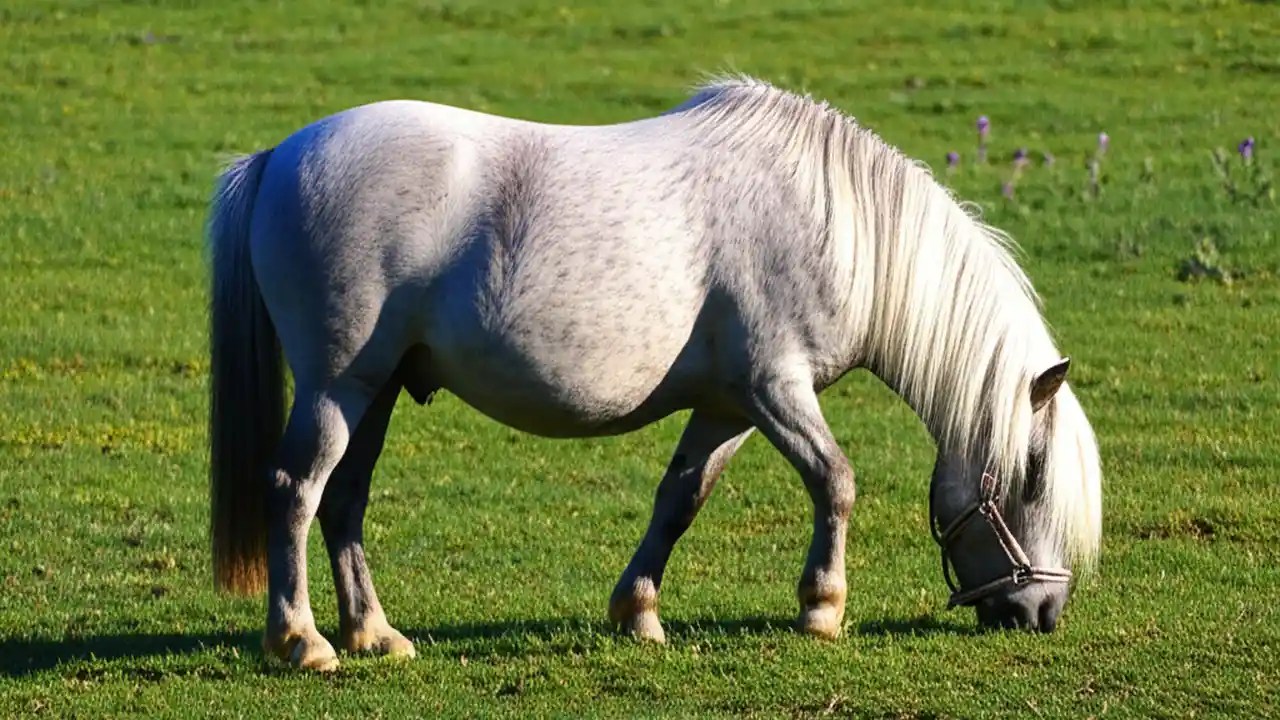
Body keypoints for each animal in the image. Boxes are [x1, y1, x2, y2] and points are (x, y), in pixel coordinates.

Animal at [208, 77, 1102, 671]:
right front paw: (822, 609)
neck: (834, 219)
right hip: (338, 386)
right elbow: (837, 481)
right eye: (1030, 476)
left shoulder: (730, 405)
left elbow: (680, 498)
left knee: (344, 501)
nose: (1045, 610)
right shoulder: (777, 390)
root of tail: (277, 157)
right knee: (296, 490)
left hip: (380, 386)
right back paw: (303, 641)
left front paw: (637, 612)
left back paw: (374, 634)